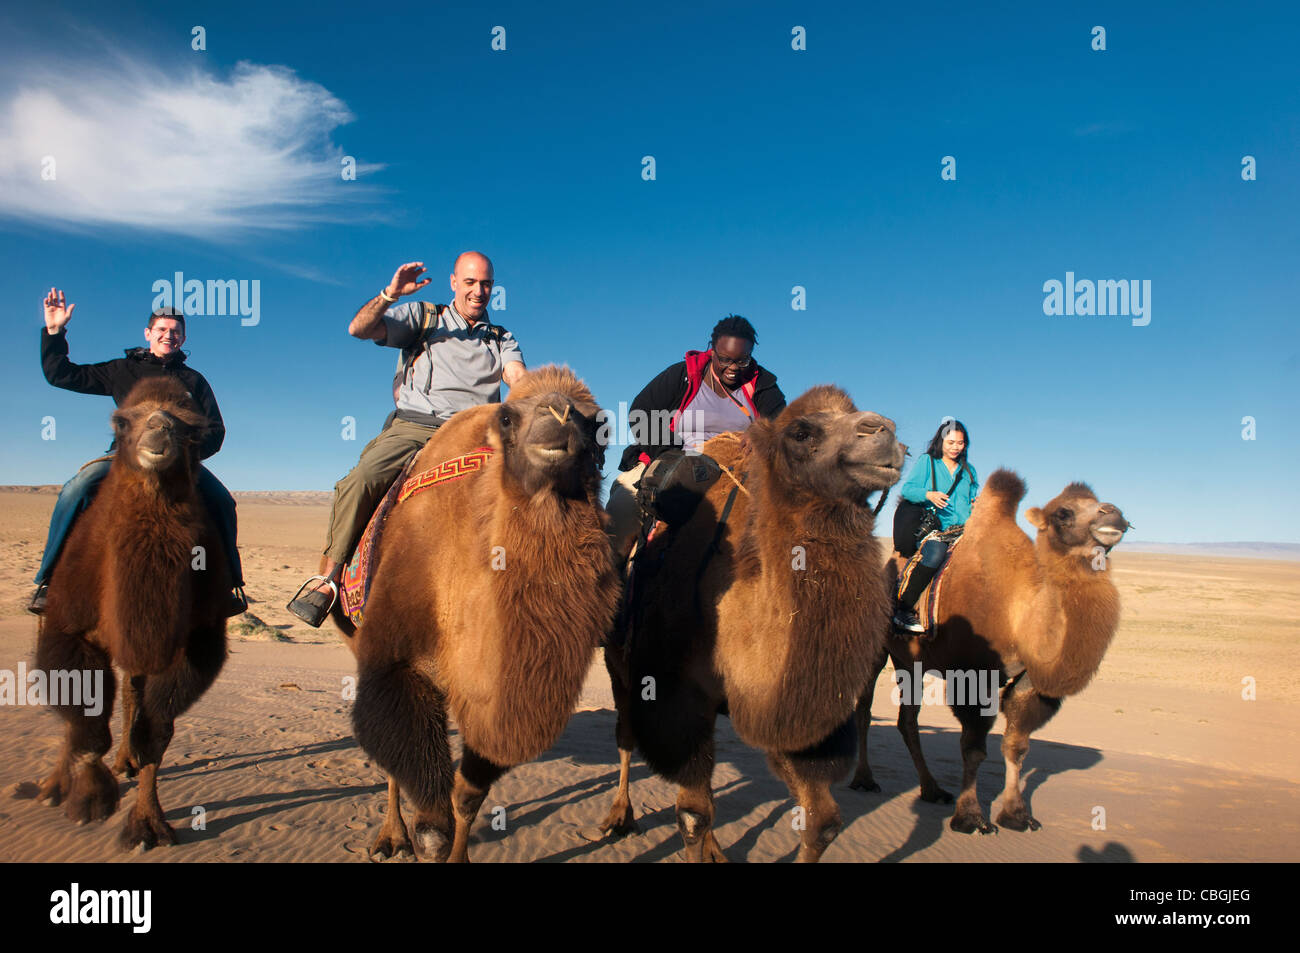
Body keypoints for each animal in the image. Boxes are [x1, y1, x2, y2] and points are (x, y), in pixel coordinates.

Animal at [35, 377, 229, 850]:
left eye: (191, 426)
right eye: (123, 421)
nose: (160, 430)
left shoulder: (199, 640)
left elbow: (155, 732)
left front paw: (146, 824)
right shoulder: (71, 627)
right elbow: (85, 719)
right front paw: (91, 798)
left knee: (132, 692)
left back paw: (124, 763)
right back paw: (52, 787)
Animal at [343, 365, 621, 862]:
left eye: (597, 425)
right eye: (507, 416)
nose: (559, 416)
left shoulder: (498, 699)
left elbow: (466, 798)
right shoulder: (392, 660)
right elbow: (431, 822)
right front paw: (417, 837)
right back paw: (390, 837)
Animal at [600, 386, 906, 862]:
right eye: (801, 432)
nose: (883, 431)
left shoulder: (794, 711)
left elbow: (822, 821)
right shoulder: (677, 693)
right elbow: (692, 815)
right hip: (621, 661)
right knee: (626, 735)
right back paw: (620, 816)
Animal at [850, 469, 1129, 834]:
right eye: (1063, 513)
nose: (1114, 514)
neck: (1017, 613)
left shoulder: (1027, 680)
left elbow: (1016, 744)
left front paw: (1016, 814)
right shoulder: (972, 674)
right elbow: (973, 748)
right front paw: (970, 817)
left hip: (911, 662)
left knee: (907, 720)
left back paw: (932, 789)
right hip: (877, 648)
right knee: (864, 710)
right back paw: (864, 779)